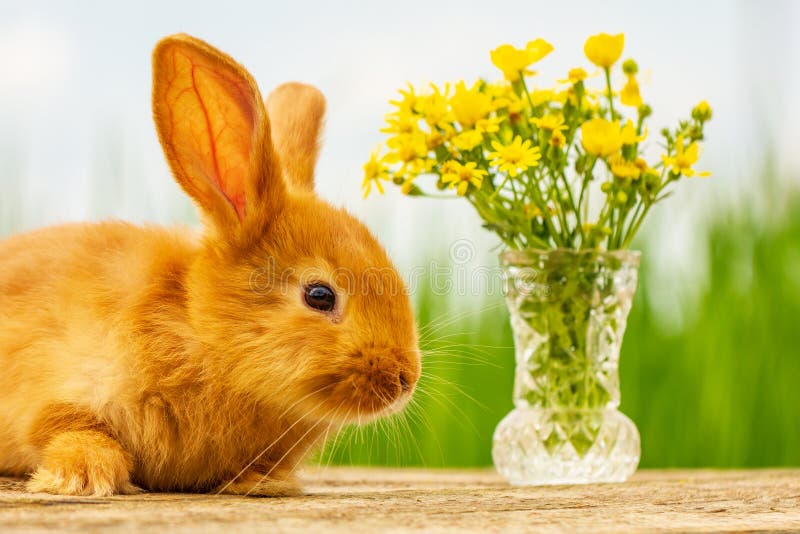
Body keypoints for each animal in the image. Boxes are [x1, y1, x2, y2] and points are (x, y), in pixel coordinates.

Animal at [0, 33, 420, 497]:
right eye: (320, 295)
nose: (405, 378)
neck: (198, 332)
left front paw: (264, 482)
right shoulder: (60, 390)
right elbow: (72, 430)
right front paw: (82, 477)